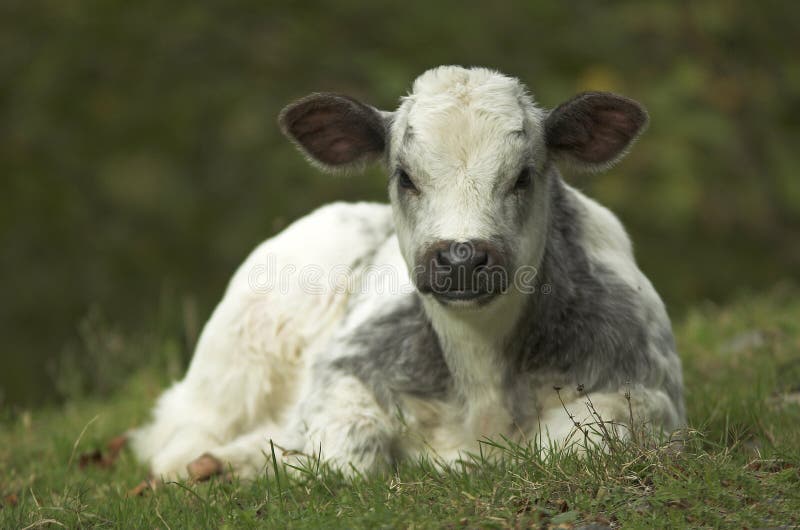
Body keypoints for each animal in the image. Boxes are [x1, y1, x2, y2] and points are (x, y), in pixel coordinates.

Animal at [131, 66, 685, 480]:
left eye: (524, 175)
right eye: (405, 176)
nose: (461, 257)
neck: (482, 377)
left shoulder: (655, 398)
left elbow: (579, 442)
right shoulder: (341, 374)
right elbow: (347, 455)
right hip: (229, 365)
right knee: (177, 438)